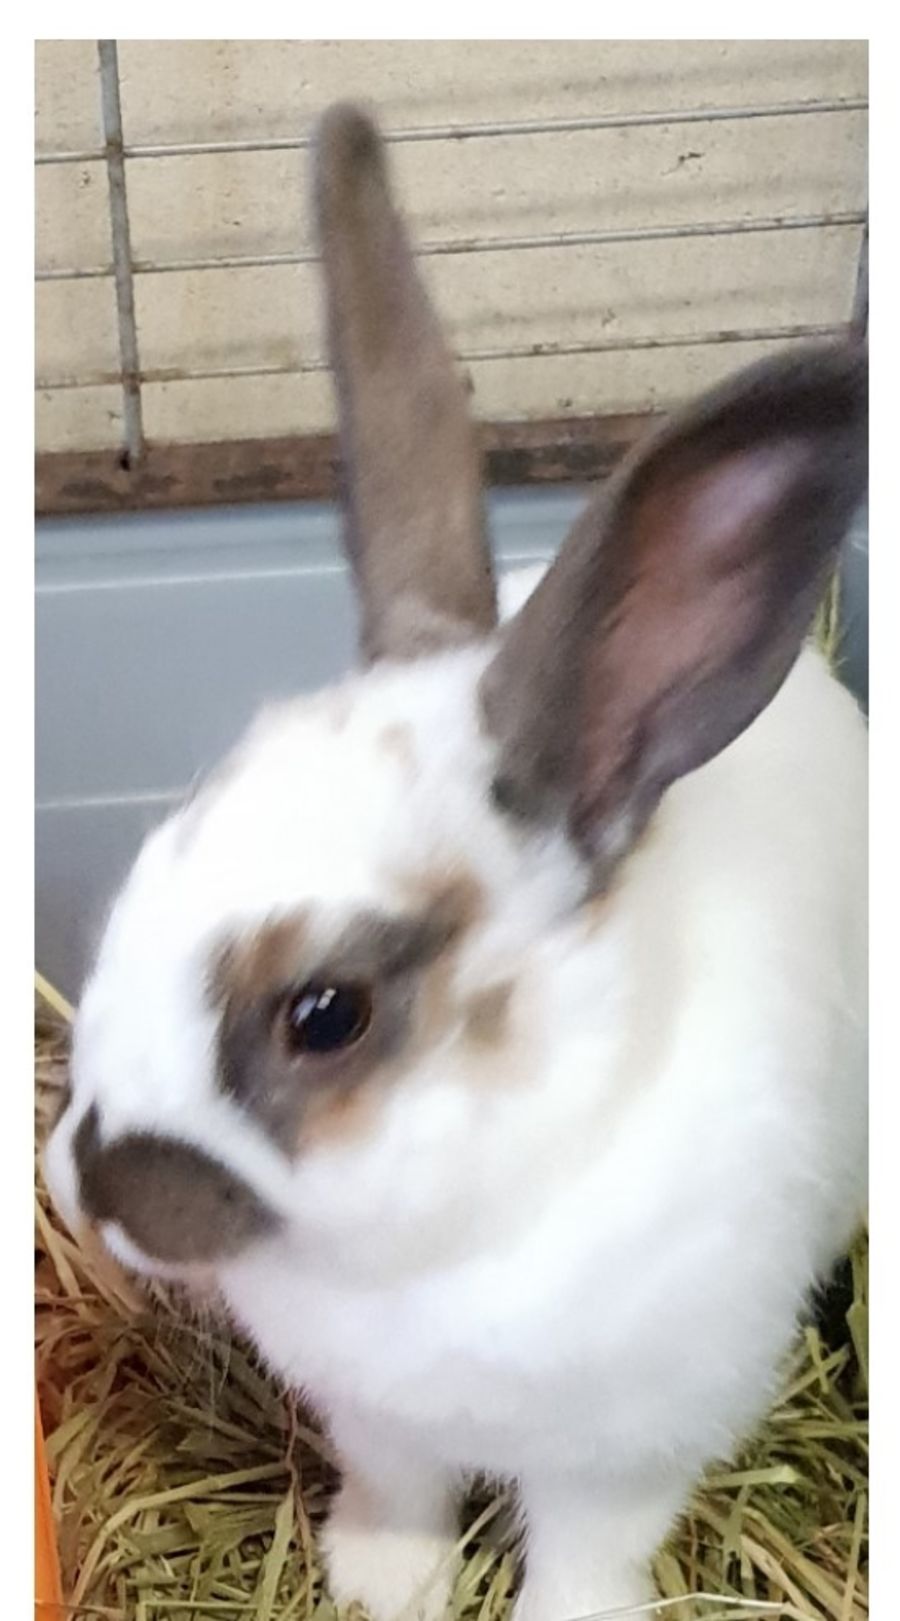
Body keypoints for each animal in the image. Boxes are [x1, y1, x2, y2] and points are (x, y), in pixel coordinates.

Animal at [44, 103, 868, 1621]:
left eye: (327, 1015)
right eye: (142, 874)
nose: (96, 1187)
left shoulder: (631, 1449)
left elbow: (589, 1551)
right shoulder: (378, 1421)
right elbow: (401, 1489)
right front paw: (381, 1578)